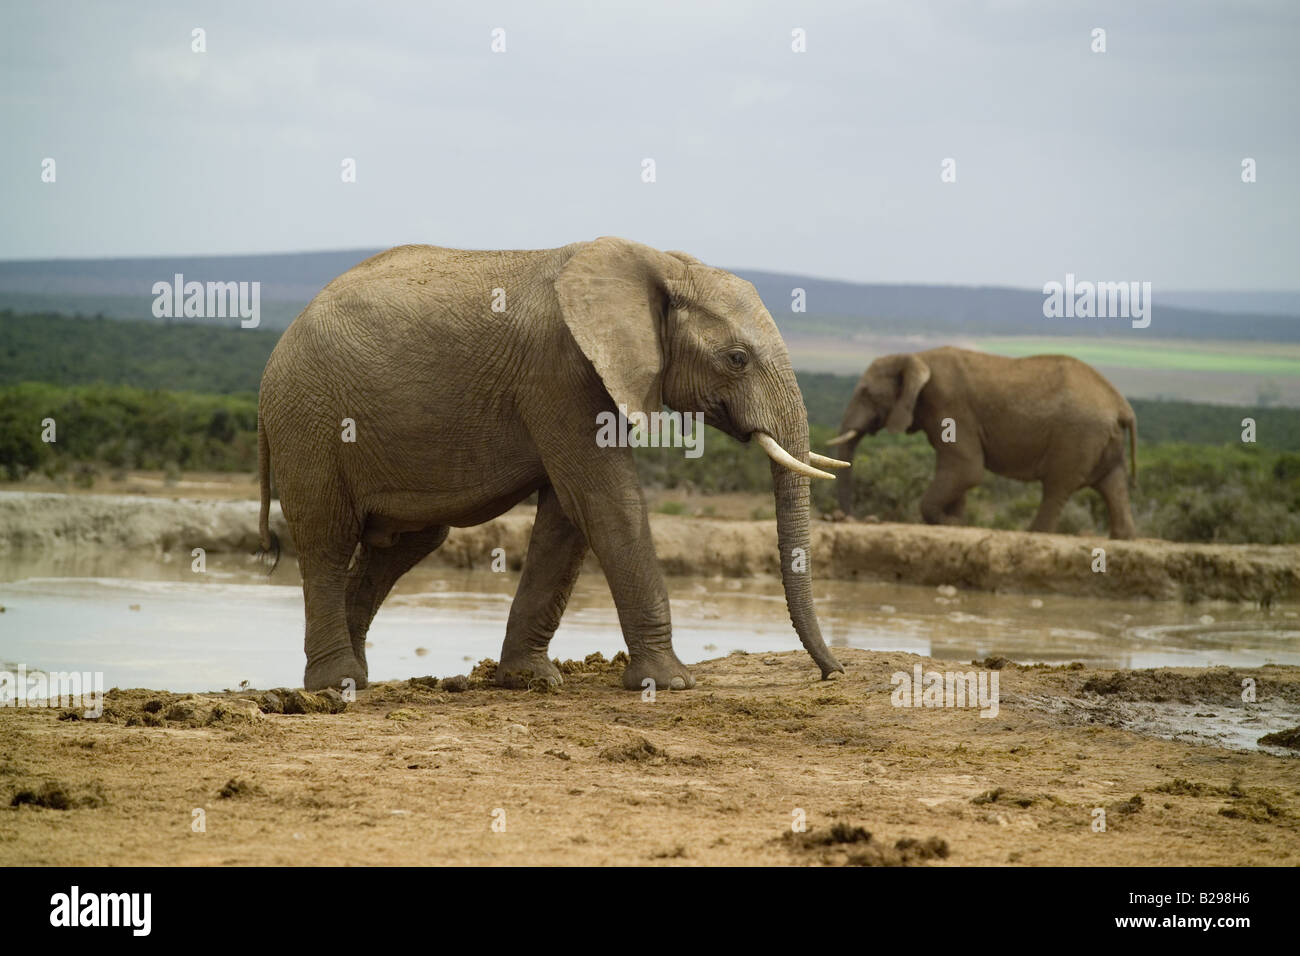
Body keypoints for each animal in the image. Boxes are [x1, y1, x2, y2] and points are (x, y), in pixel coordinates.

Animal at [257, 237, 849, 693]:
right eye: (736, 359)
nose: (832, 674)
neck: (660, 263)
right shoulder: (562, 371)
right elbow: (605, 501)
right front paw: (671, 683)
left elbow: (568, 516)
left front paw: (529, 680)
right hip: (309, 421)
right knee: (328, 539)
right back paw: (336, 684)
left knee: (404, 545)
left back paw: (357, 676)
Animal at [827, 347, 1137, 538]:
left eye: (866, 393)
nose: (848, 518)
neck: (915, 357)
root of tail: (1121, 405)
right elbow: (960, 473)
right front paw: (956, 522)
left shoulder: (948, 404)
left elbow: (967, 470)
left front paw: (952, 523)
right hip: (1102, 439)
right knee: (1113, 483)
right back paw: (1121, 537)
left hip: (1078, 435)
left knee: (1057, 486)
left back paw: (1032, 533)